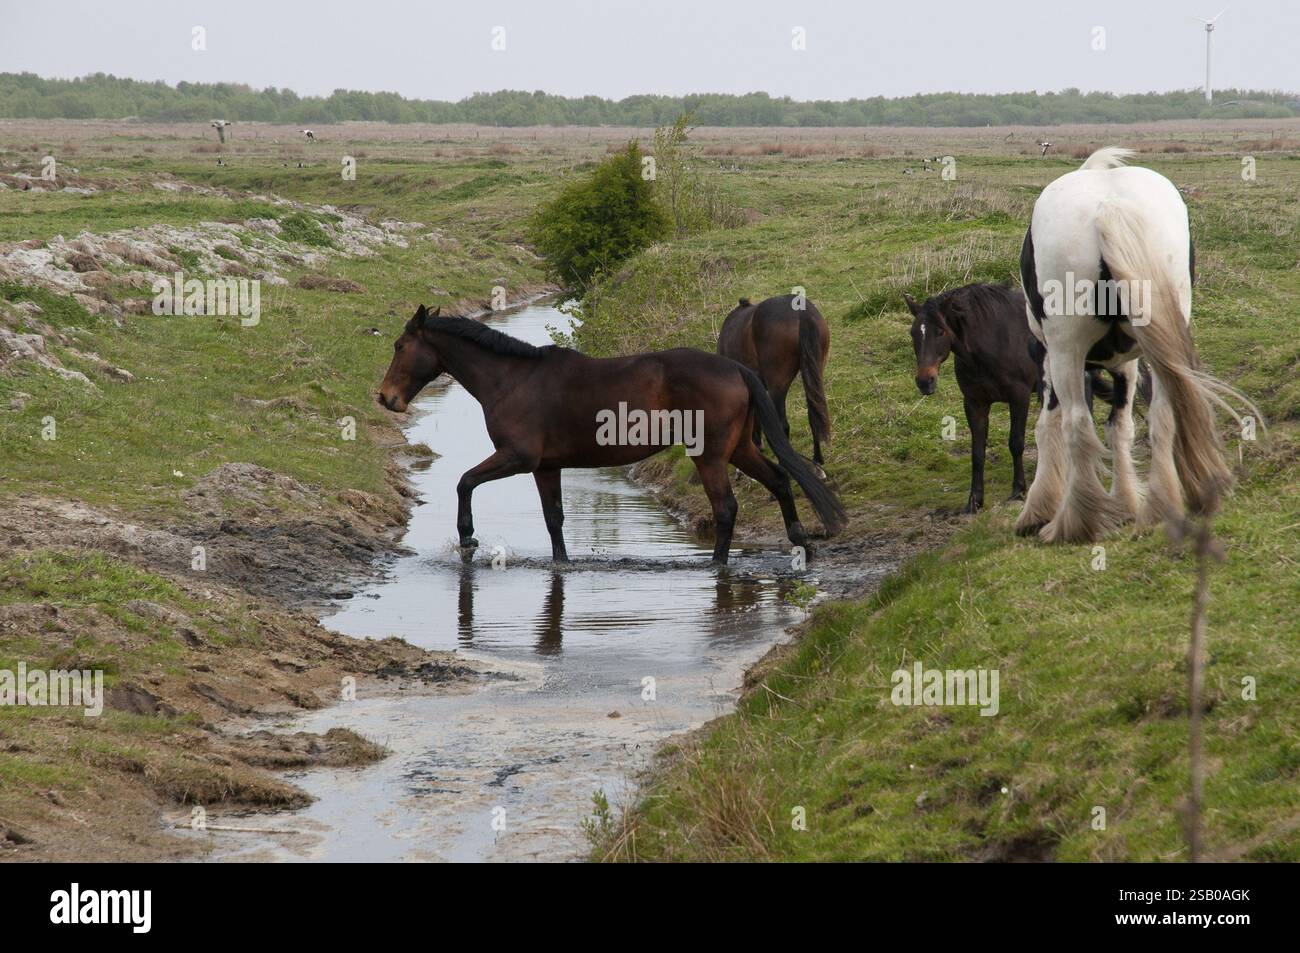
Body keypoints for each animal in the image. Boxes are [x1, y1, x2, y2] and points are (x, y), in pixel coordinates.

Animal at [717, 294, 831, 466]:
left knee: (783, 425)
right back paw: (817, 459)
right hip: (815, 371)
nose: (757, 445)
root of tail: (801, 313)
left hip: (777, 385)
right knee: (814, 415)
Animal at [1016, 147, 1257, 543]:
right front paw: (1126, 502)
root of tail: (1109, 206)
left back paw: (1075, 523)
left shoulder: (1051, 359)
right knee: (1162, 414)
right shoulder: (1127, 365)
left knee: (1076, 425)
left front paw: (1038, 509)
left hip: (1067, 351)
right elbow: (1121, 427)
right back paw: (1158, 508)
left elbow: (1049, 426)